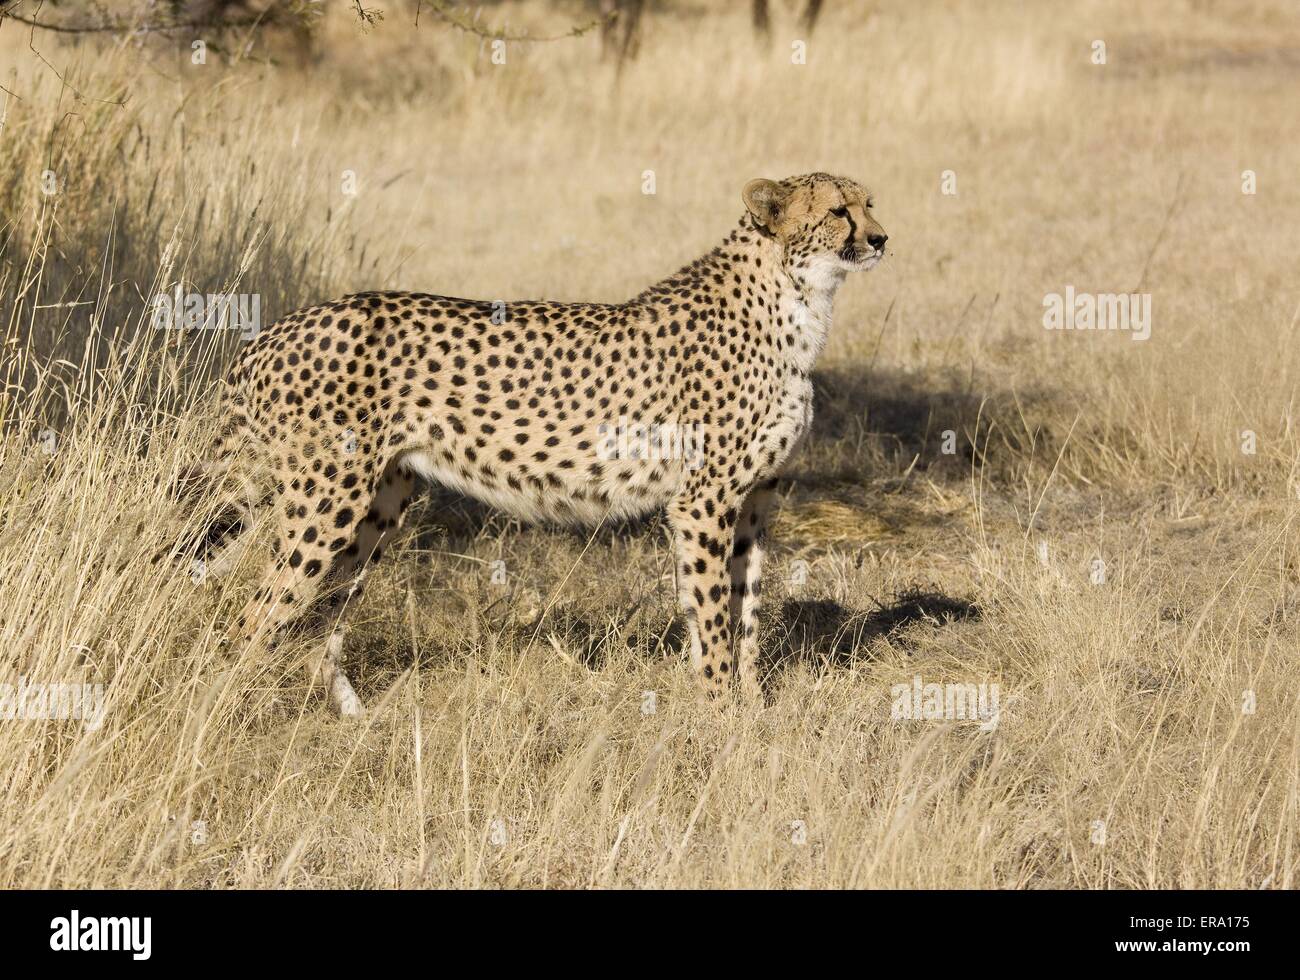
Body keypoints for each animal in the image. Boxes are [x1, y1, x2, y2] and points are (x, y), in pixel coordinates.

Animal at [179, 172, 888, 715]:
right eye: (838, 211)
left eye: (869, 202)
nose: (881, 238)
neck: (797, 297)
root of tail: (274, 329)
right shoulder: (703, 501)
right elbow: (712, 613)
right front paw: (717, 715)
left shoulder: (754, 499)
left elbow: (745, 610)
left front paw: (750, 707)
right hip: (326, 501)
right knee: (255, 613)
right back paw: (225, 715)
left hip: (378, 505)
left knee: (321, 612)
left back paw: (352, 717)